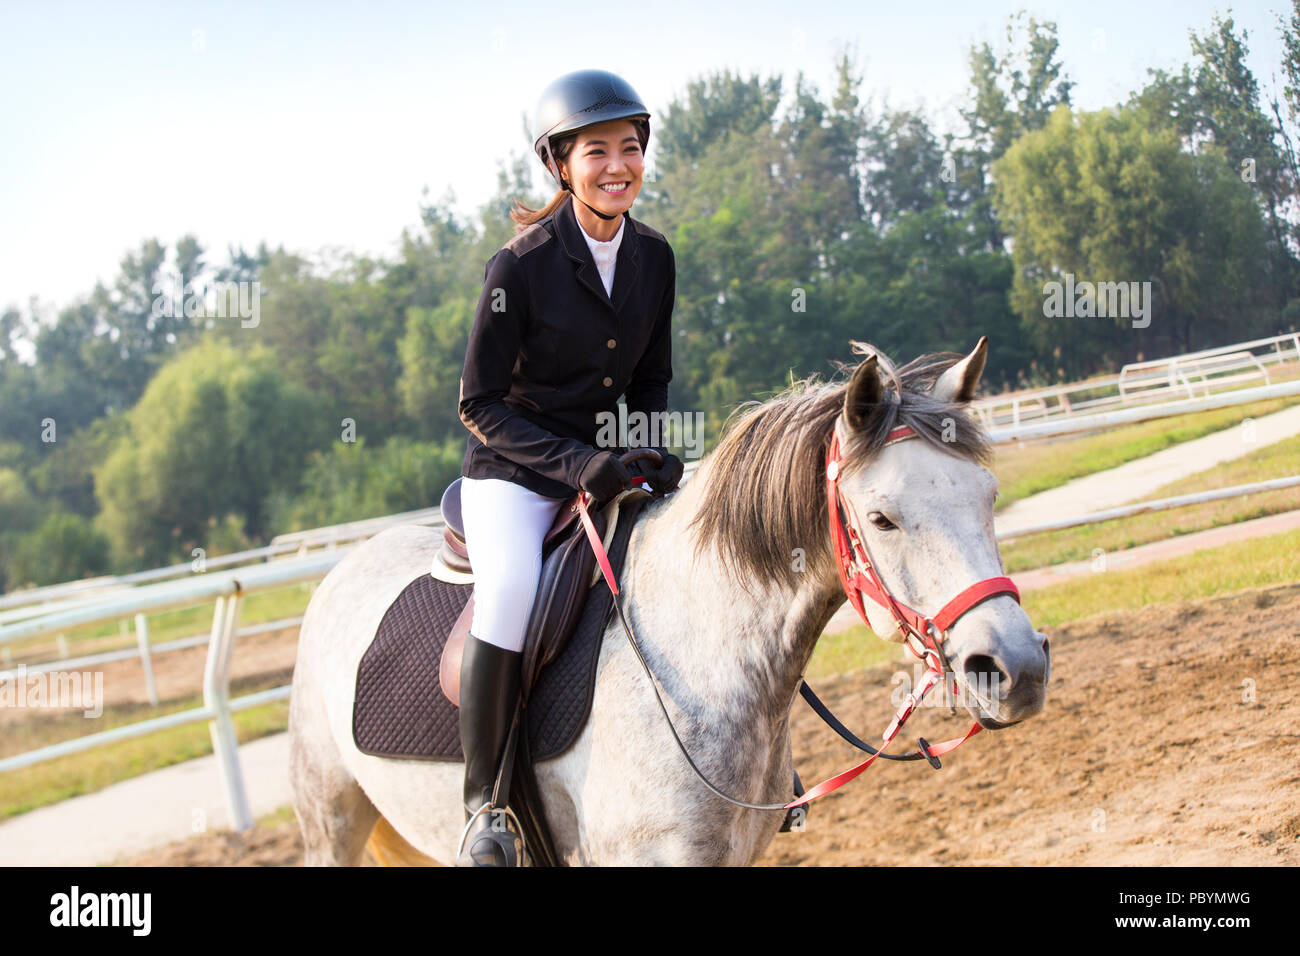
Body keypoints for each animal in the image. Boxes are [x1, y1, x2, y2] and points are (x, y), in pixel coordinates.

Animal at [287, 337, 1051, 865]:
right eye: (883, 518)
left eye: (987, 495)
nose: (1015, 670)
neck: (695, 661)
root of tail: (344, 569)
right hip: (331, 823)